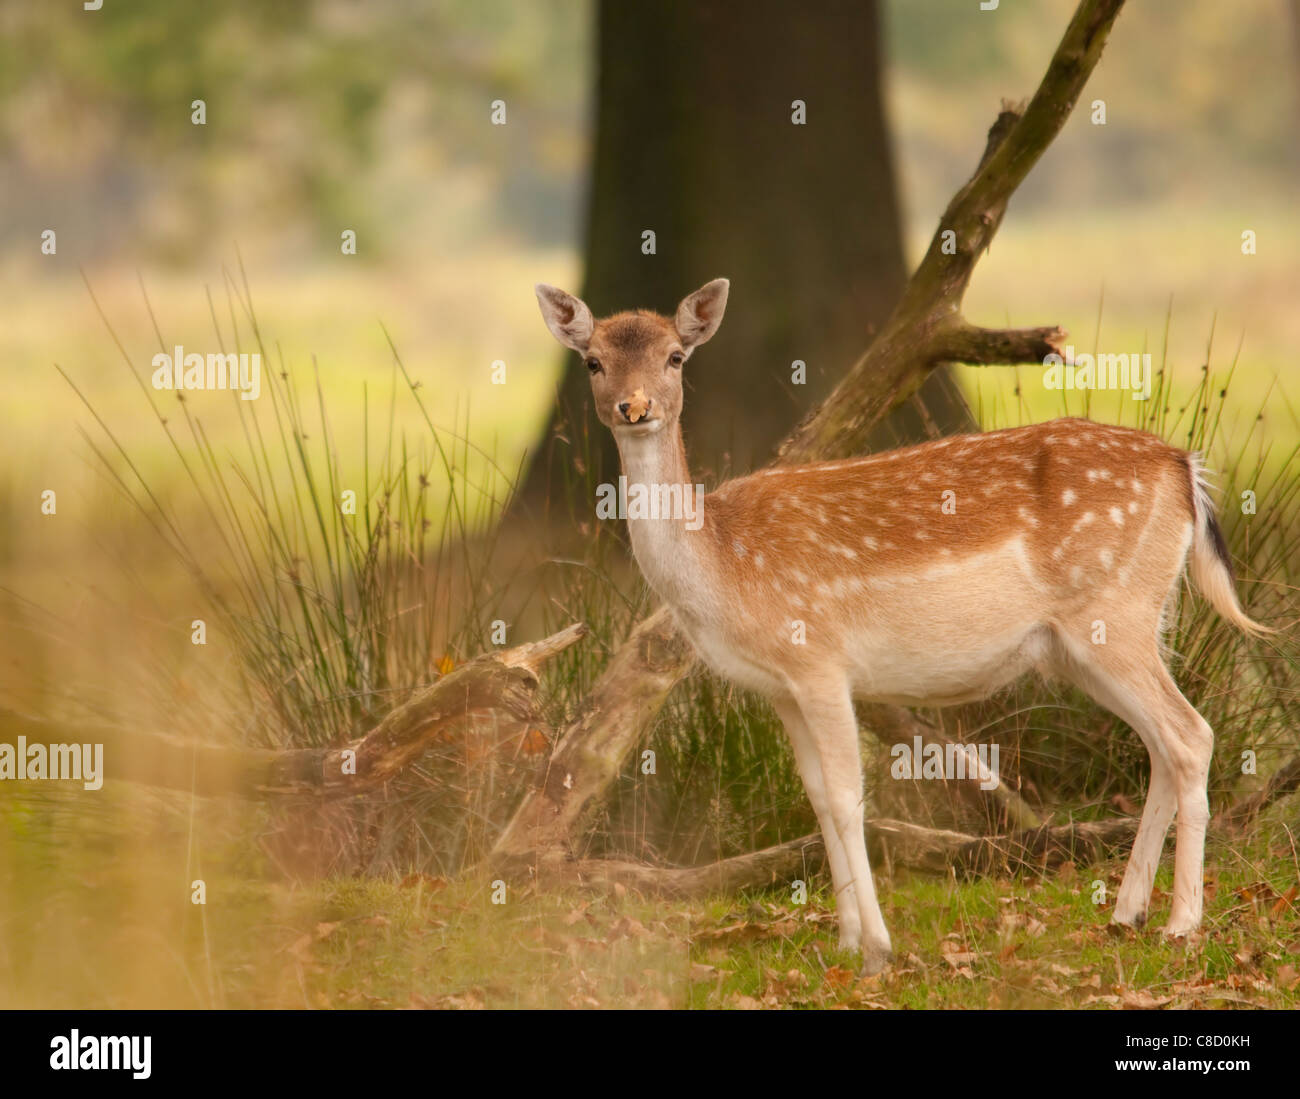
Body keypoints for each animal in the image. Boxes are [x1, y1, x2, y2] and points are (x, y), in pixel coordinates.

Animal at [535, 277, 1271, 974]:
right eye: (593, 360)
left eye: (676, 356)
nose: (635, 407)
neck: (724, 568)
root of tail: (1186, 468)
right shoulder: (781, 688)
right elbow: (816, 797)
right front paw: (842, 941)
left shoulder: (821, 659)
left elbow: (847, 794)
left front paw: (878, 949)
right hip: (1097, 639)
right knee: (1161, 744)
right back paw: (1126, 913)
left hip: (1115, 613)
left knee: (1192, 734)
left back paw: (1181, 923)